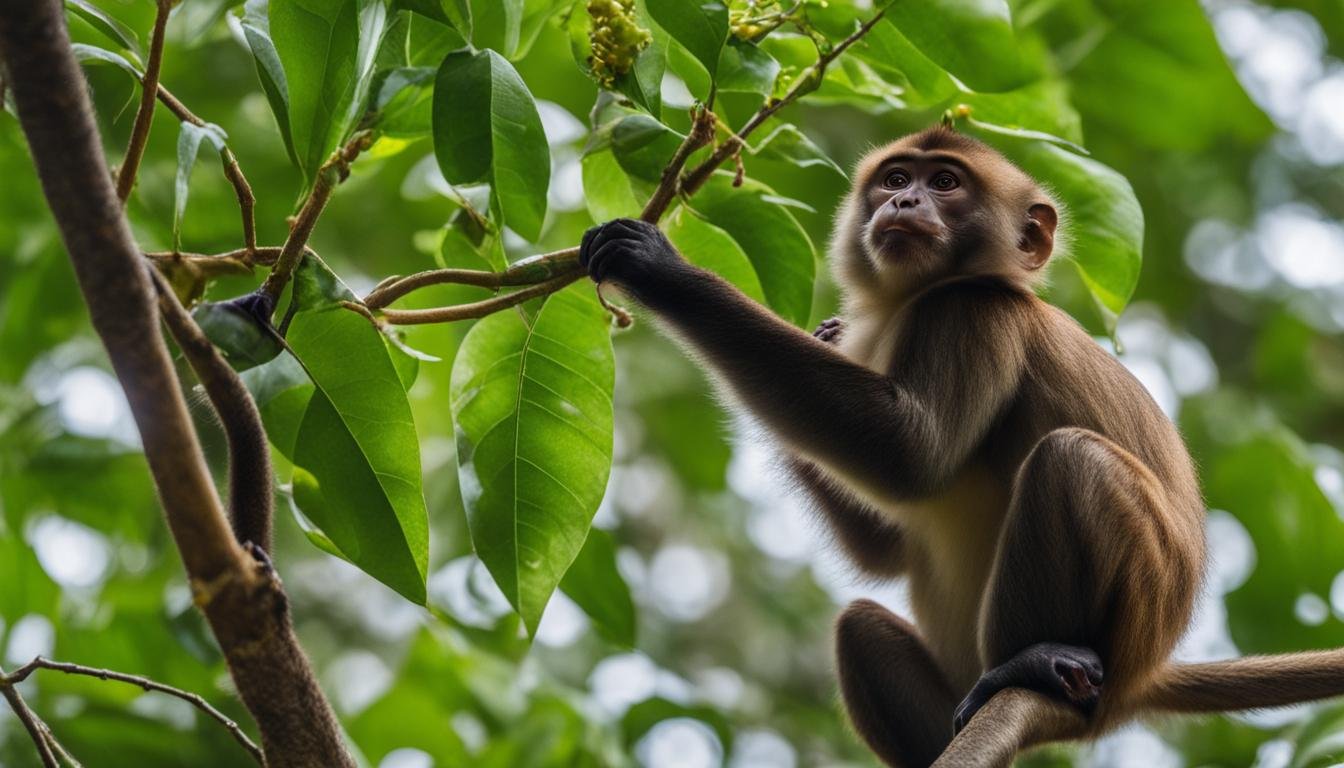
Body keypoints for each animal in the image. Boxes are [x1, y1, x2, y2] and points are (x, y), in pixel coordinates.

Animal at [579, 125, 1344, 767]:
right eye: (896, 179)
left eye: (945, 182)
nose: (906, 200)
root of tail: (1145, 672)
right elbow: (883, 552)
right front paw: (828, 334)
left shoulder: (972, 313)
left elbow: (909, 457)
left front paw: (661, 273)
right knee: (860, 626)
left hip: (1127, 627)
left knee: (1072, 459)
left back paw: (1032, 667)